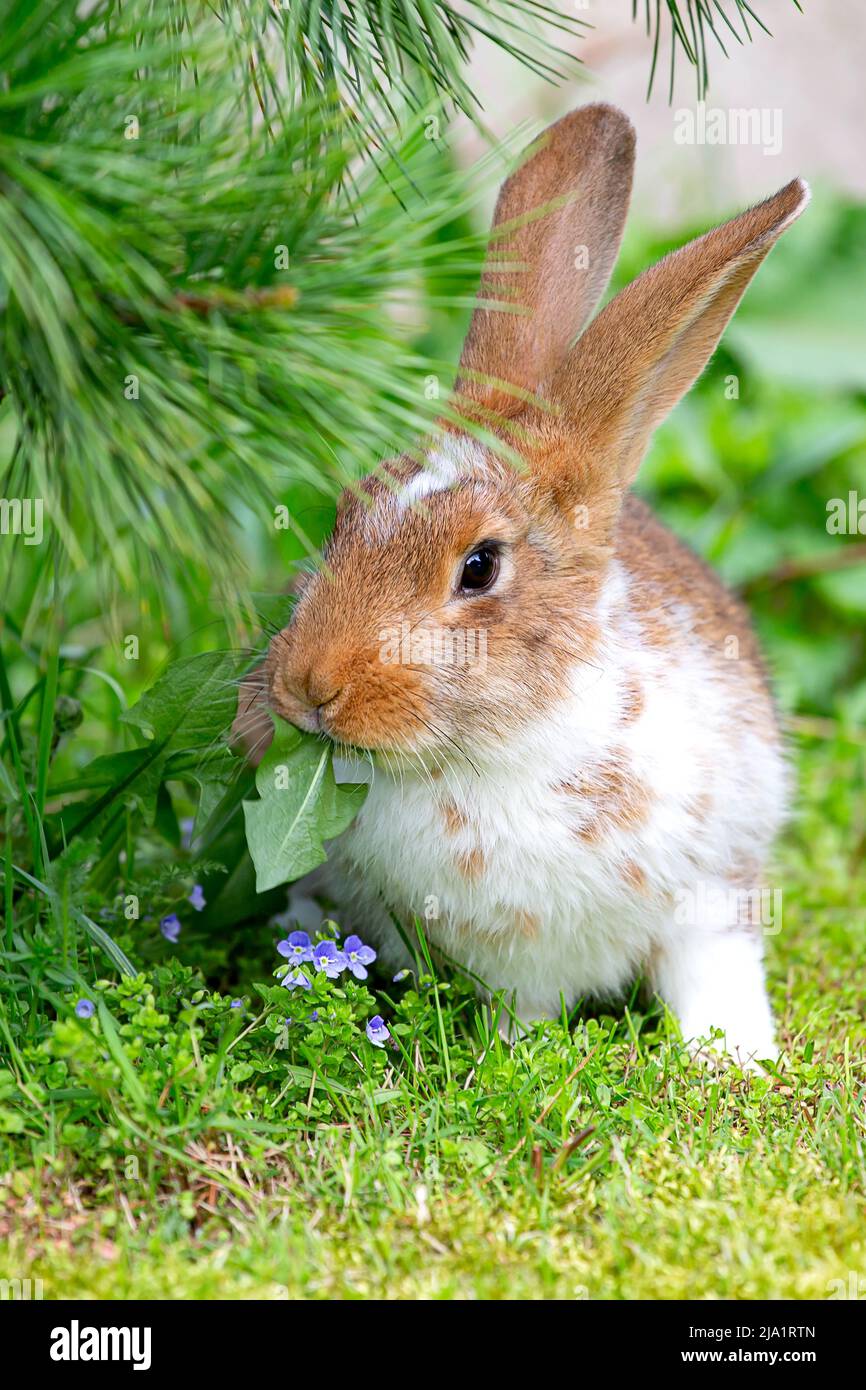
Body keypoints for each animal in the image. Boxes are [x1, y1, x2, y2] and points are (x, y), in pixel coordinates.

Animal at [235, 104, 809, 1068]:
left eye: (479, 567)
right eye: (345, 513)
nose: (307, 688)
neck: (504, 744)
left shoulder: (713, 892)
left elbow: (711, 972)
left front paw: (737, 1060)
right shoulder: (511, 965)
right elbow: (522, 1012)